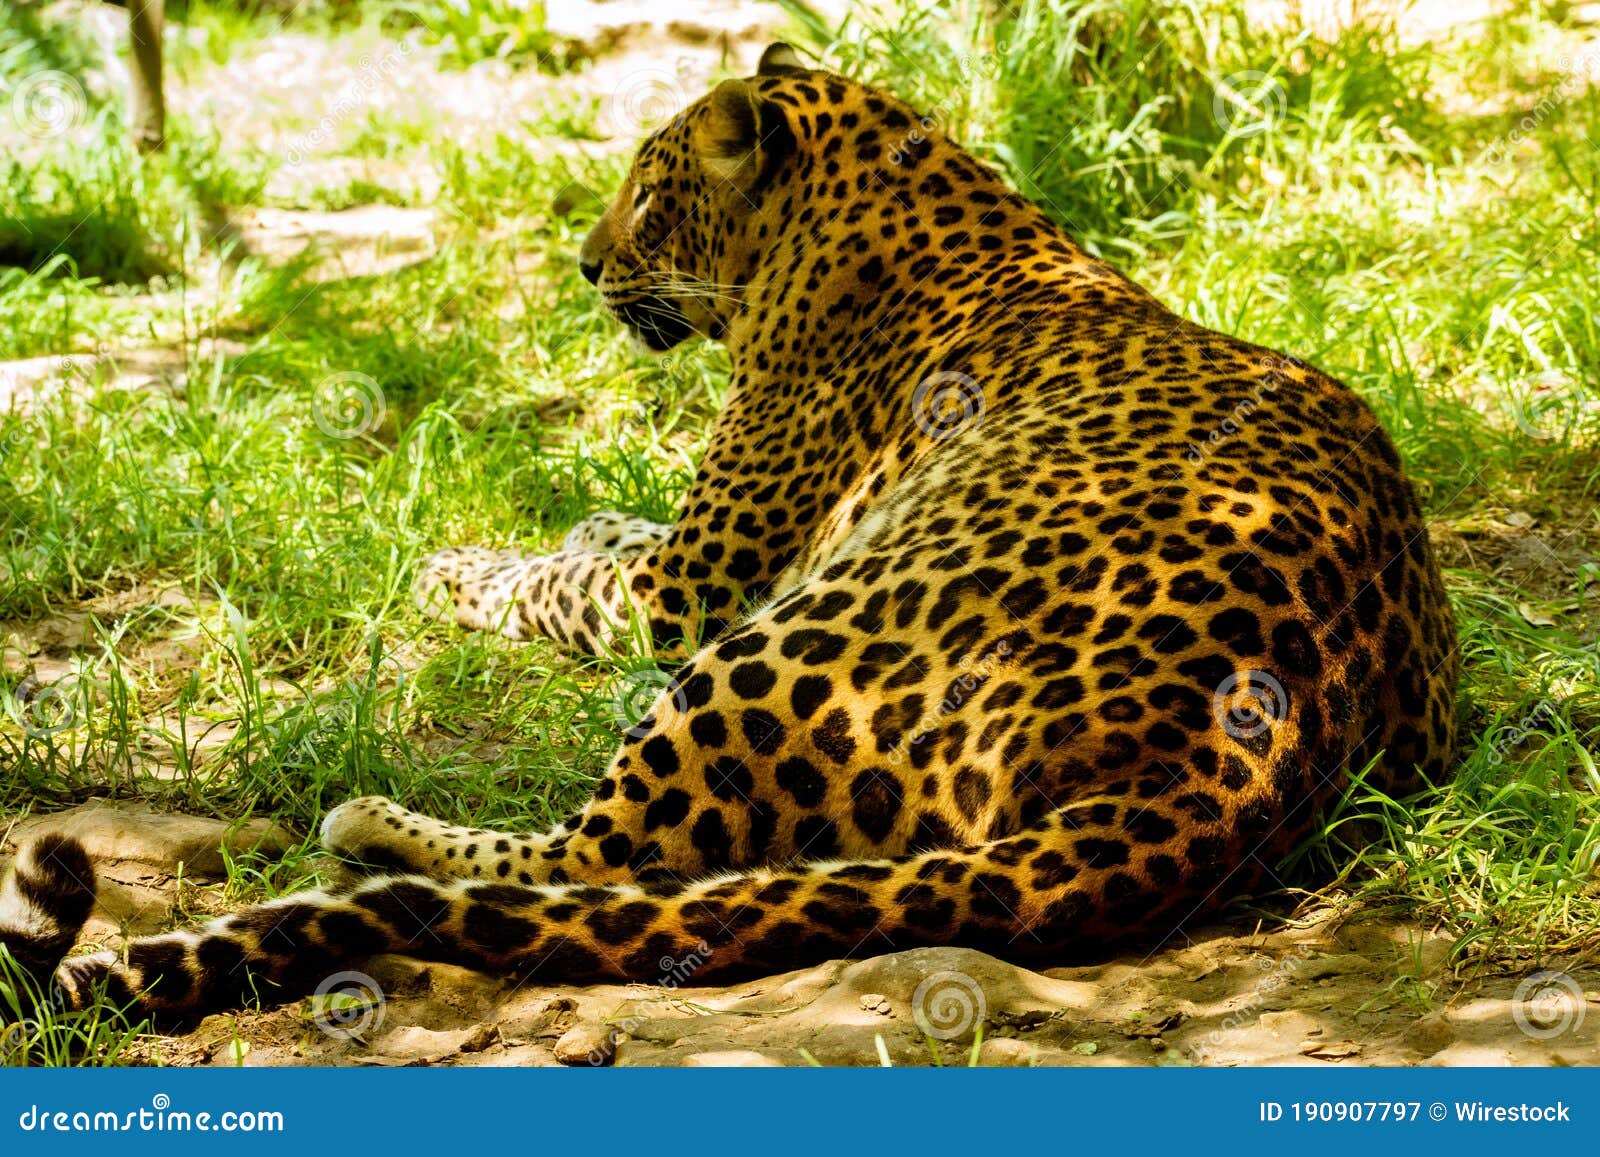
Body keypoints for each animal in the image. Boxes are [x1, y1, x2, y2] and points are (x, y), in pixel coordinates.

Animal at [0, 43, 1457, 1025]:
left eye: (649, 197)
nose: (587, 266)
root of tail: (1230, 757)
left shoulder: (687, 589)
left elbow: (549, 580)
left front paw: (455, 563)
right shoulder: (693, 546)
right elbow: (598, 528)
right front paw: (573, 510)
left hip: (785, 642)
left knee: (597, 858)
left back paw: (371, 822)